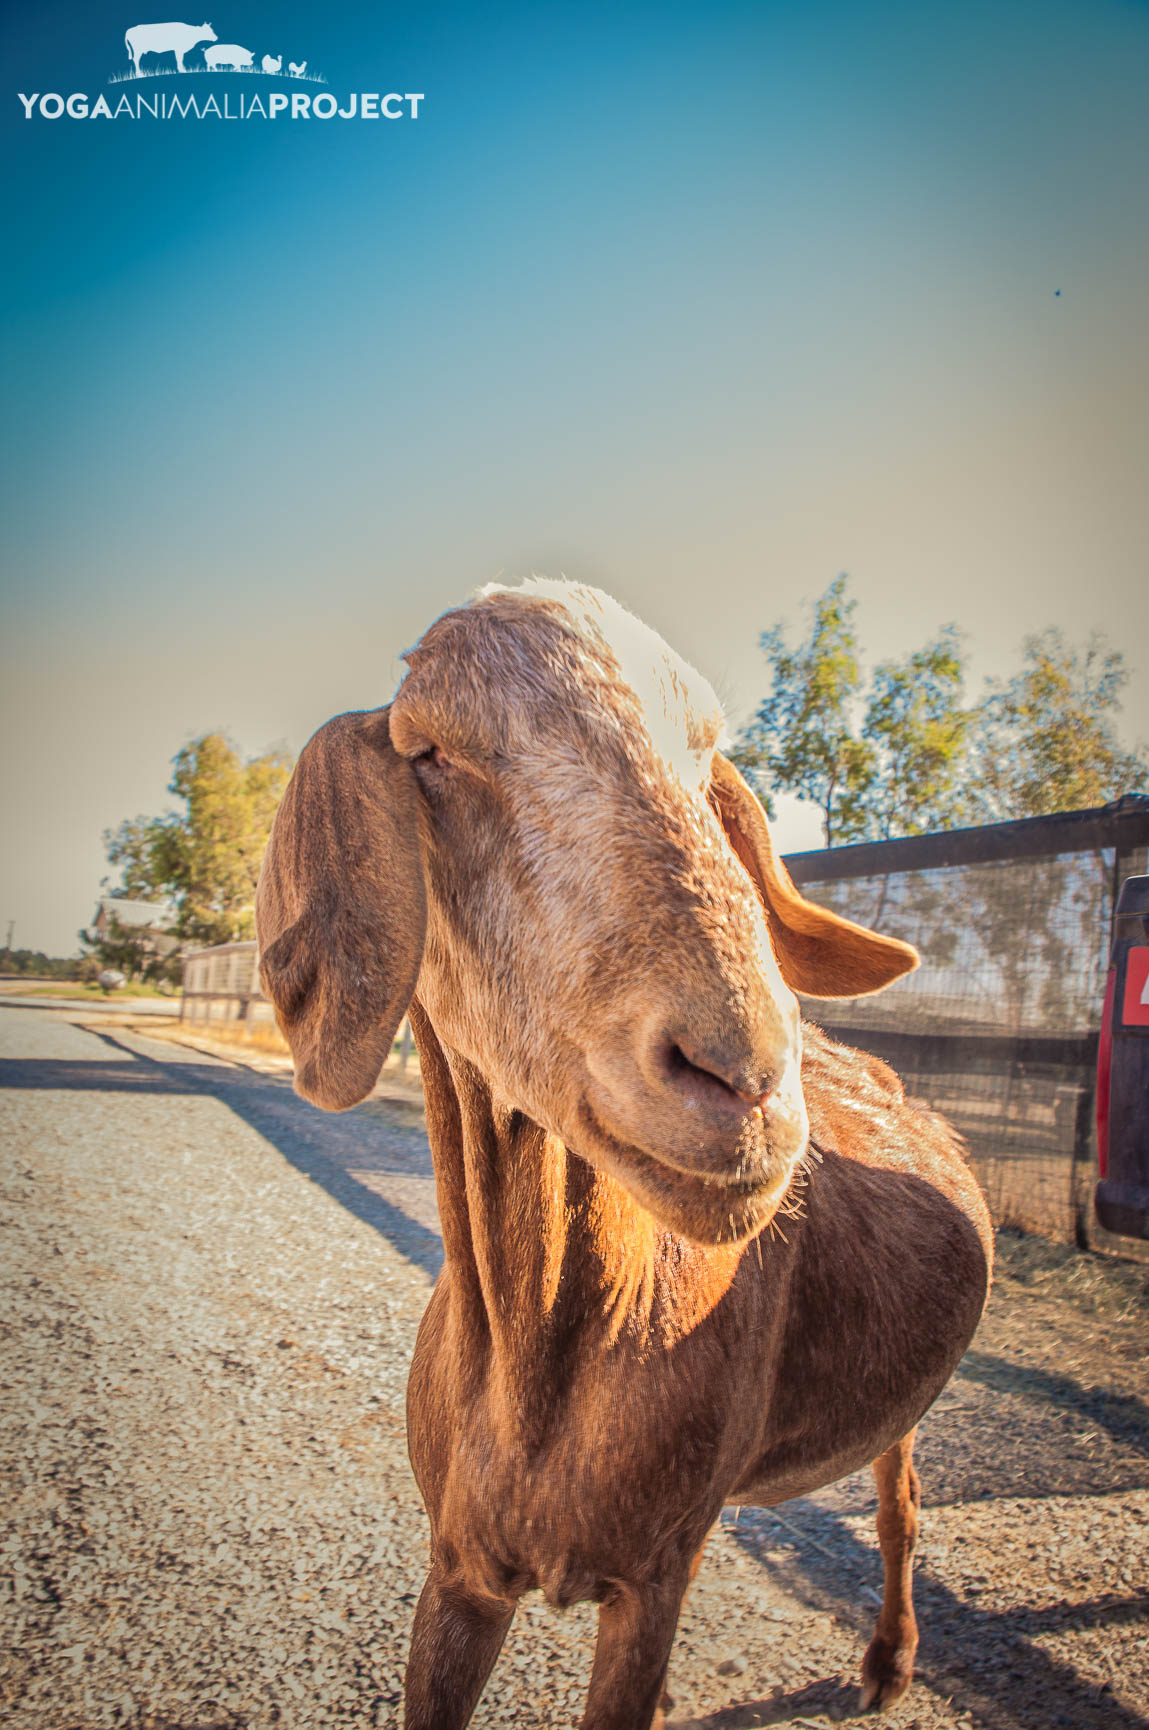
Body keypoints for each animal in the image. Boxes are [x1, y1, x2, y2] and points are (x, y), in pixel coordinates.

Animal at [256, 580, 993, 1728]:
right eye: (430, 752)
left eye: (704, 758)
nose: (745, 1076)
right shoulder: (458, 1572)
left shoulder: (652, 1575)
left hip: (902, 1418)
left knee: (900, 1502)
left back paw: (888, 1661)